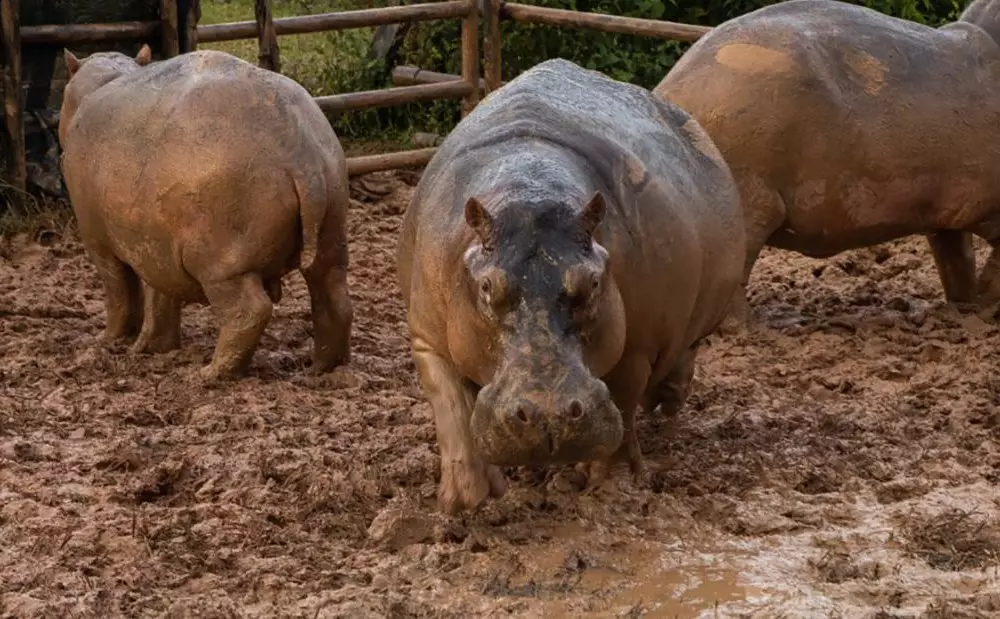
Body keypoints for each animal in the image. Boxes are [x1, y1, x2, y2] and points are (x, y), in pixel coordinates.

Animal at [59, 46, 352, 380]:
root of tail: (300, 154)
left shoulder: (99, 241)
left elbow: (120, 291)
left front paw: (109, 341)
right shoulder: (155, 246)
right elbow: (159, 297)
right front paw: (154, 348)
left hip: (220, 263)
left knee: (250, 311)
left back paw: (207, 374)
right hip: (331, 231)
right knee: (334, 297)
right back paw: (321, 369)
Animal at [394, 57, 748, 512]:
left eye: (593, 281)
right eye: (487, 287)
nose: (549, 415)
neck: (528, 190)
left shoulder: (637, 345)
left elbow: (622, 403)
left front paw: (609, 485)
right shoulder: (427, 337)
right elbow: (452, 411)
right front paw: (466, 502)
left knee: (681, 355)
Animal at [656, 0, 1000, 330]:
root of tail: (668, 91)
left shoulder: (948, 210)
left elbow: (956, 256)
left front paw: (967, 309)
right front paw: (985, 309)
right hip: (747, 190)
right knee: (737, 266)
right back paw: (754, 329)